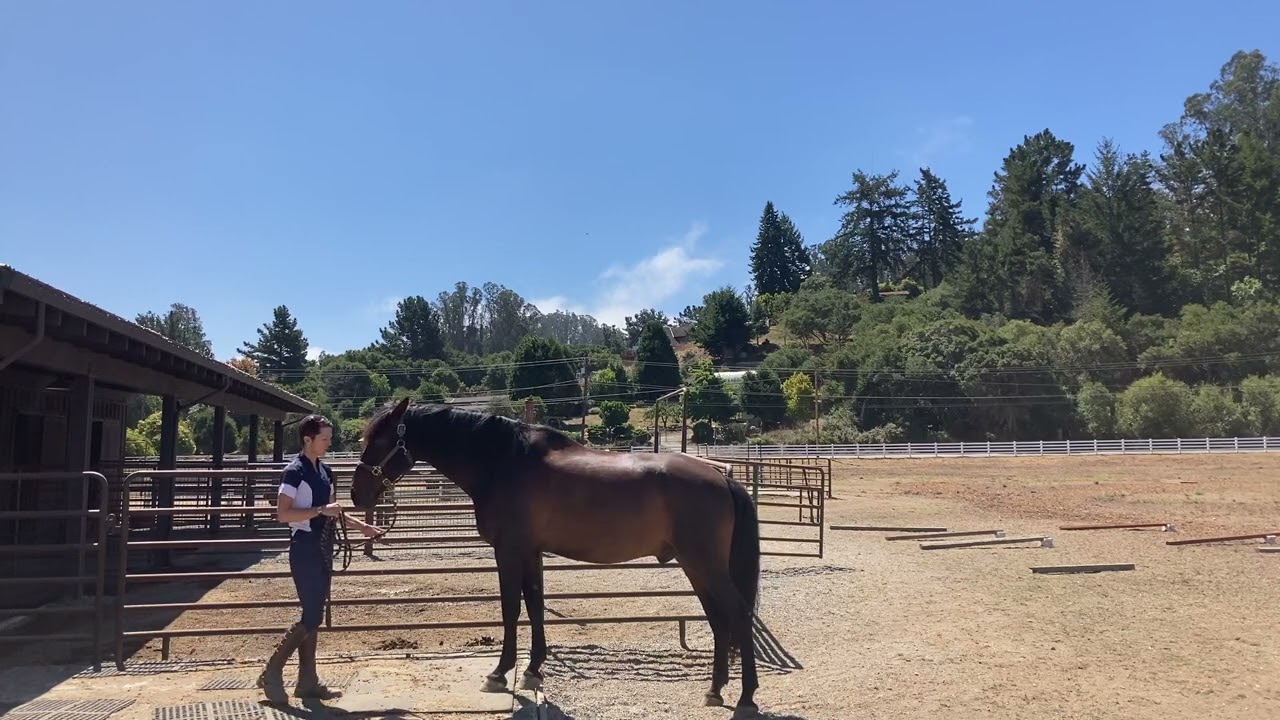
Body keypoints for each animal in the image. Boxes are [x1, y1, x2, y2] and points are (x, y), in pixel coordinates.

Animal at [349, 396, 763, 719]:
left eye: (379, 439)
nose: (356, 495)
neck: (502, 460)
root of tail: (722, 478)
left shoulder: (508, 550)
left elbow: (511, 608)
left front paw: (500, 673)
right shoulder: (531, 551)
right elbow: (534, 604)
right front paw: (533, 669)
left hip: (705, 564)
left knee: (739, 615)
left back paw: (745, 698)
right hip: (697, 567)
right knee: (719, 622)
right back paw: (714, 692)